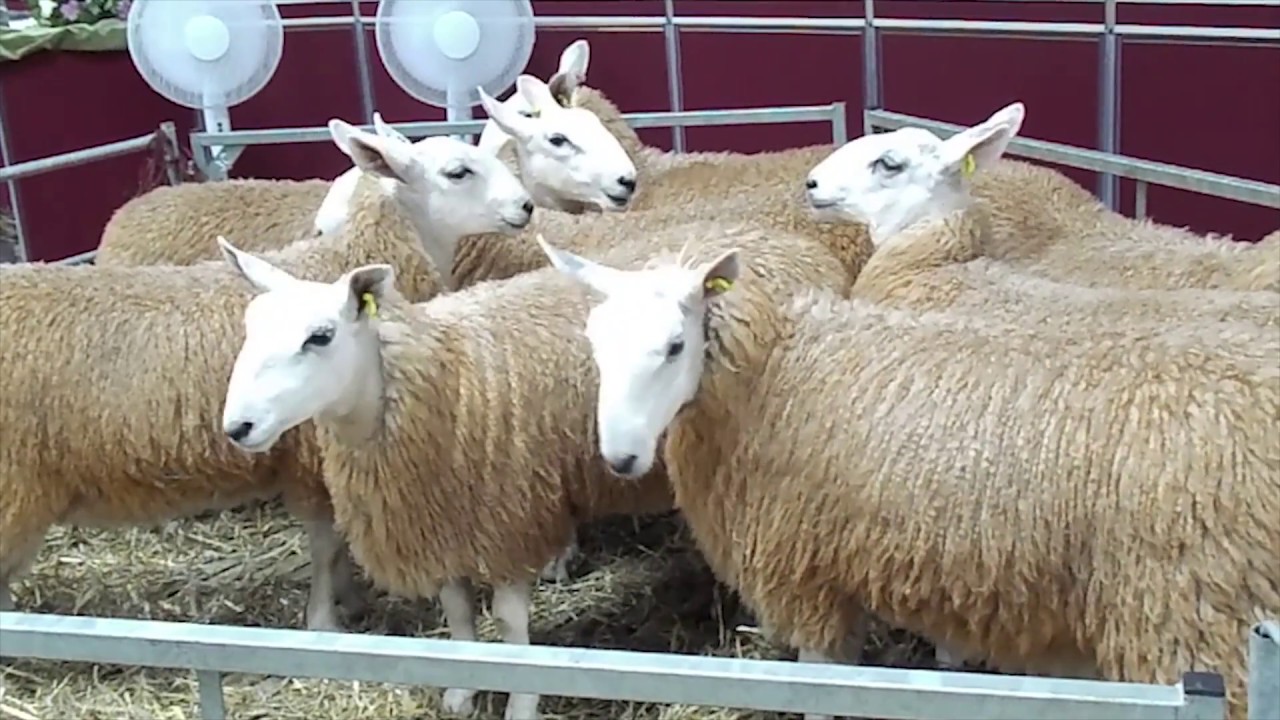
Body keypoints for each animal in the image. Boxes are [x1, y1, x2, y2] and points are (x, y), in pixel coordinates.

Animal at [0, 118, 534, 632]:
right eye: (458, 171)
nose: (527, 206)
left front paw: (349, 598)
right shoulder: (312, 458)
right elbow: (325, 546)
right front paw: (327, 617)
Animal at [215, 213, 859, 719]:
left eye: (320, 336)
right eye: (247, 329)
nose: (236, 427)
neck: (438, 379)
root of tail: (780, 238)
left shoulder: (510, 517)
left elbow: (510, 625)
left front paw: (520, 701)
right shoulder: (437, 519)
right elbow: (456, 610)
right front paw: (460, 690)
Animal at [540, 233, 1280, 720]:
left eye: (674, 346)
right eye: (594, 343)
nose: (621, 457)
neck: (771, 368)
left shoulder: (806, 576)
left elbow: (818, 686)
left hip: (1190, 618)